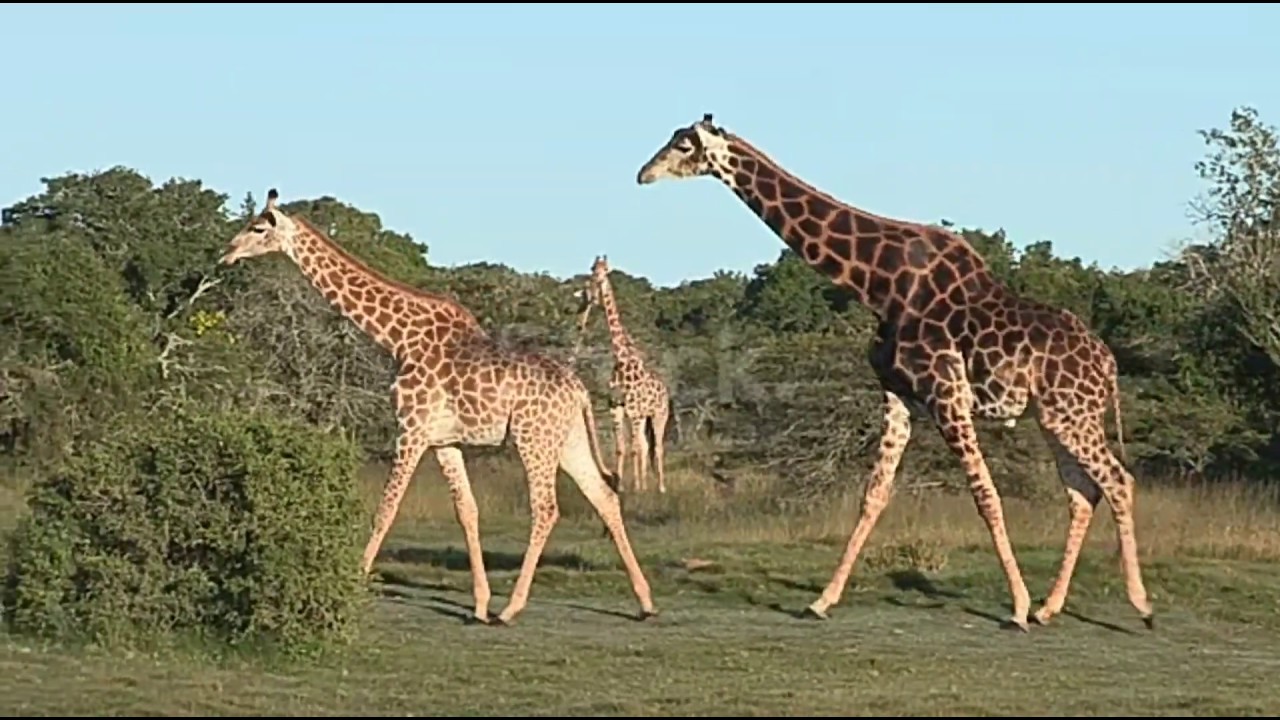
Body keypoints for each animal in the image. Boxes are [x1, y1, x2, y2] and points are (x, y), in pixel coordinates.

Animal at [218, 189, 657, 626]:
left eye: (257, 228)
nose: (226, 252)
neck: (397, 339)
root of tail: (579, 389)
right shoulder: (445, 441)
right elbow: (467, 511)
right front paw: (478, 604)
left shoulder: (411, 428)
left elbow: (386, 508)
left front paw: (352, 585)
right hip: (567, 440)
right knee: (604, 496)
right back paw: (644, 602)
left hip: (533, 438)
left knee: (547, 508)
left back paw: (511, 608)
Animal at [572, 255, 675, 494]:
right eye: (593, 268)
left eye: (606, 269)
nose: (597, 279)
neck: (621, 360)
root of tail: (666, 391)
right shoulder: (616, 406)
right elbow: (621, 448)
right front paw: (620, 486)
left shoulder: (633, 409)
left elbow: (635, 448)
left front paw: (636, 488)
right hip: (644, 416)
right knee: (645, 445)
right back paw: (646, 484)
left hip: (659, 415)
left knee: (657, 447)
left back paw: (660, 487)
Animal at [633, 114, 1154, 632]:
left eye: (683, 146)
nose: (642, 175)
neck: (879, 283)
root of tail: (1108, 364)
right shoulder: (899, 394)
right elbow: (874, 494)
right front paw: (822, 600)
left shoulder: (946, 394)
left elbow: (985, 495)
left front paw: (1018, 607)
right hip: (1054, 417)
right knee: (1083, 491)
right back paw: (1052, 607)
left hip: (1072, 414)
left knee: (1117, 480)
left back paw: (1137, 605)